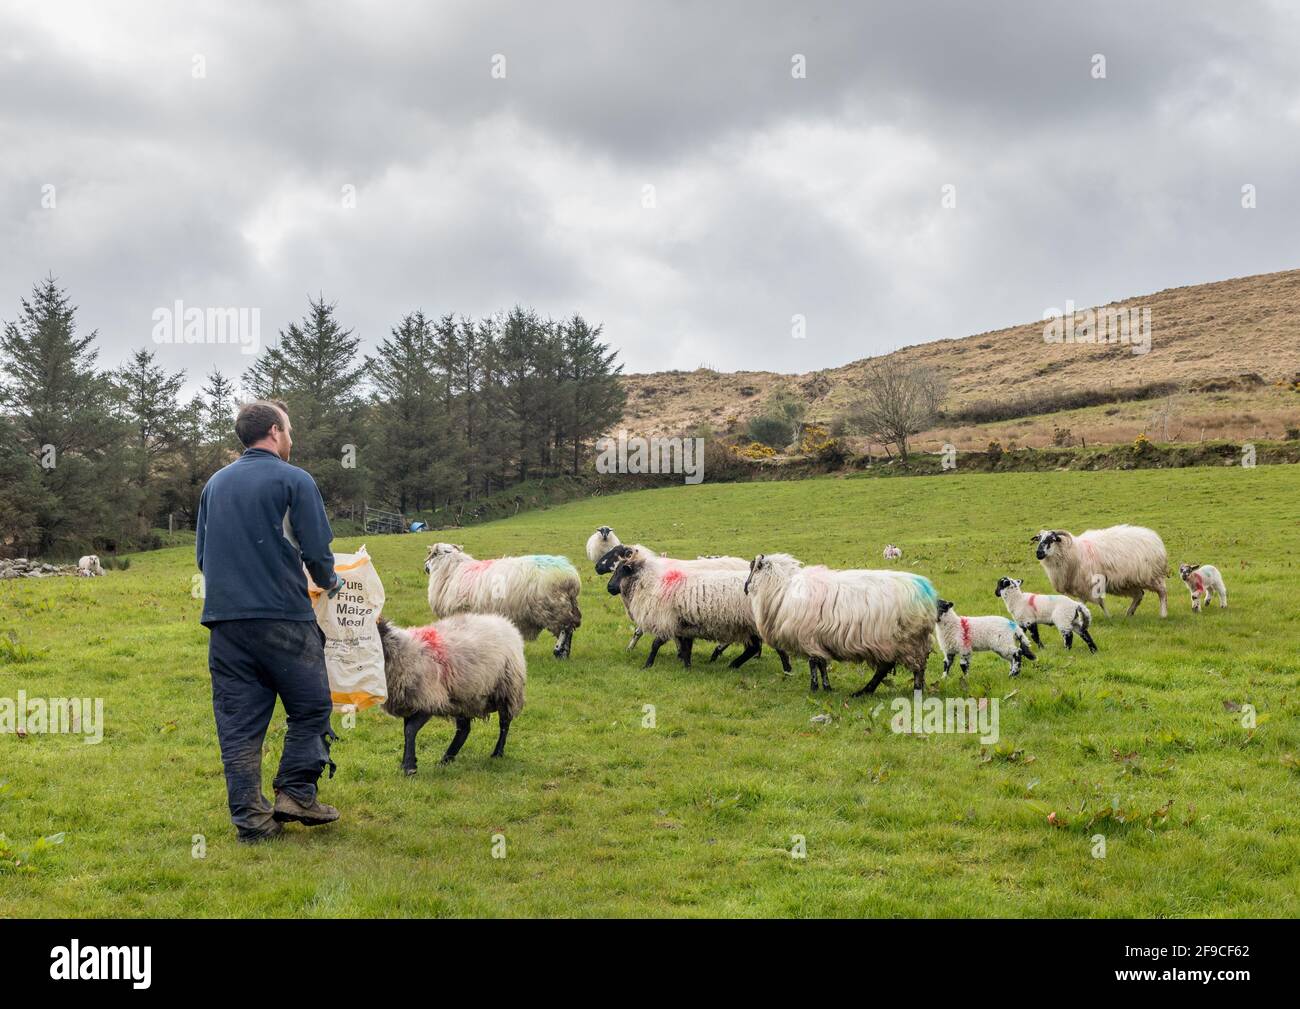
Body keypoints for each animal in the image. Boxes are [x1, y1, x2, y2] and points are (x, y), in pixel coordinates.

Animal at [377, 615, 525, 772]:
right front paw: (408, 762)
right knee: (464, 729)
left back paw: (497, 753)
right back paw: (447, 758)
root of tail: (505, 623)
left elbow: (410, 730)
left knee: (504, 723)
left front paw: (409, 767)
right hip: (464, 697)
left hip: (507, 689)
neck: (402, 652)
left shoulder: (429, 699)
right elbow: (406, 731)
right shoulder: (411, 703)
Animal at [424, 543, 582, 658]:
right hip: (567, 607)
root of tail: (571, 577)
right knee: (570, 629)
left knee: (565, 629)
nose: (425, 567)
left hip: (553, 609)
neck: (452, 569)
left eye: (431, 554)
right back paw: (565, 654)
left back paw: (558, 651)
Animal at [605, 551, 789, 672]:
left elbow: (656, 644)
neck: (651, 583)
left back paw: (784, 668)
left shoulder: (666, 620)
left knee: (765, 646)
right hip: (748, 625)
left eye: (622, 570)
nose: (609, 588)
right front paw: (687, 666)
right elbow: (686, 646)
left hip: (751, 623)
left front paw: (647, 665)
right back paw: (734, 665)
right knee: (754, 648)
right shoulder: (682, 625)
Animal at [743, 553, 937, 695]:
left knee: (913, 668)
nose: (745, 588)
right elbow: (821, 663)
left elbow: (814, 663)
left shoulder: (808, 638)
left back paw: (912, 690)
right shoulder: (816, 639)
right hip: (896, 642)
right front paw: (826, 688)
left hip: (907, 641)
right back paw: (865, 691)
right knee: (888, 667)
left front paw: (816, 688)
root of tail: (926, 592)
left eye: (752, 566)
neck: (781, 587)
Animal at [1033, 524, 1168, 618]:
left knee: (1162, 592)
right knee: (1139, 595)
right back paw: (1129, 613)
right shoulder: (1081, 586)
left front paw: (1107, 616)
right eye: (1038, 539)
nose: (1038, 553)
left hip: (1151, 576)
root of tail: (1154, 538)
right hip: (1130, 581)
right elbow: (1083, 604)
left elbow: (1098, 602)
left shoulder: (1090, 583)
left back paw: (1163, 614)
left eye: (1052, 539)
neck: (1074, 552)